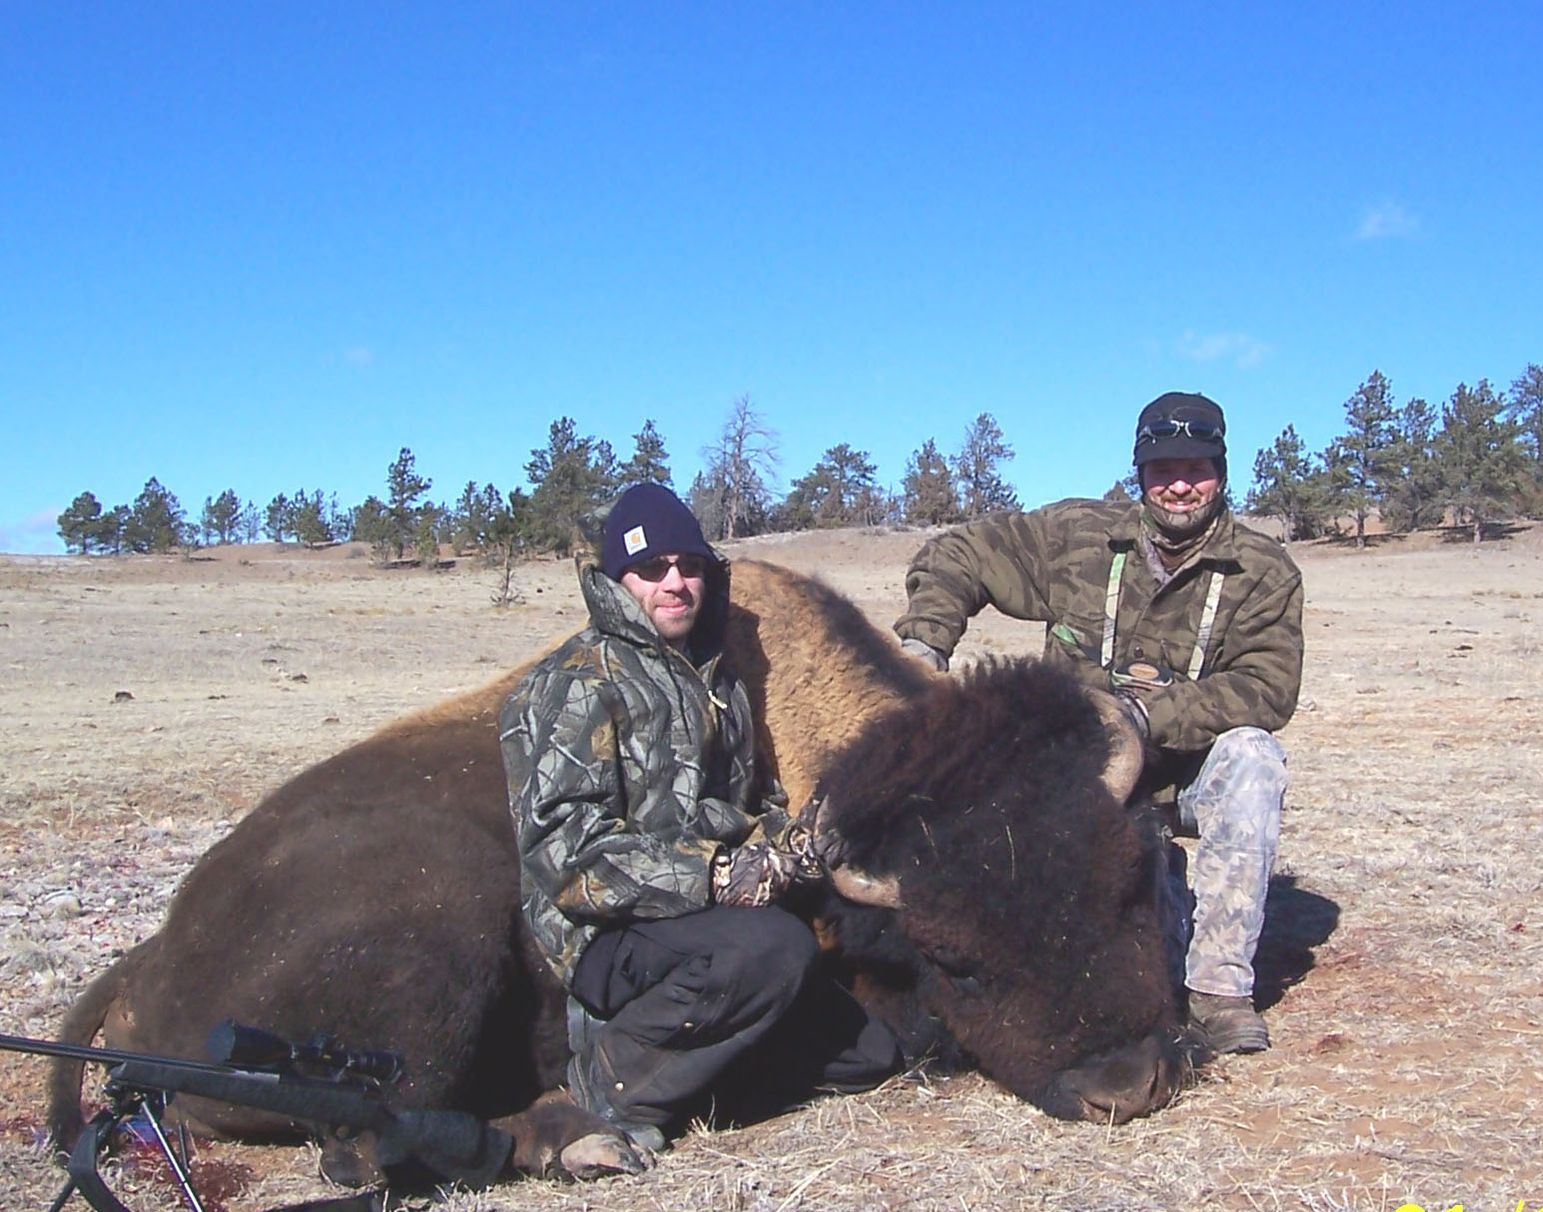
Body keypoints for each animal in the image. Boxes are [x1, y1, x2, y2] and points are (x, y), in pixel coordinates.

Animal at [48, 560, 1183, 1185]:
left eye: (1128, 881)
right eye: (957, 961)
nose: (1124, 1087)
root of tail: (150, 960)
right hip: (433, 933)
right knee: (366, 1147)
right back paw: (580, 1139)